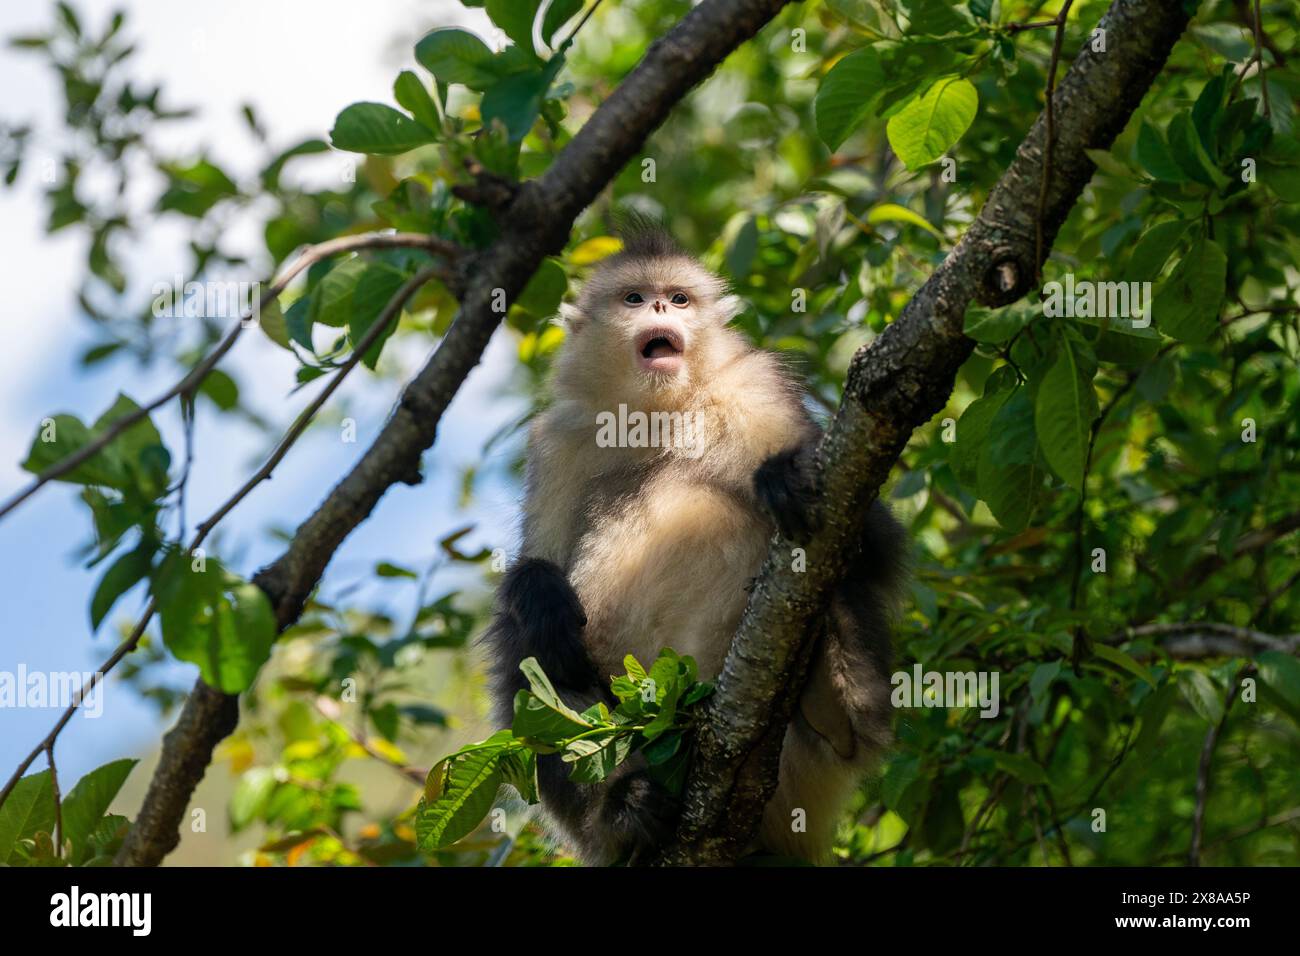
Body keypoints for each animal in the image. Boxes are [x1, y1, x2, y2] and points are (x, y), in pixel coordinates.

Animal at [482, 225, 908, 865]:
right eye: (635, 298)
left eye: (679, 299)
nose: (660, 310)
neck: (655, 417)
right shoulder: (559, 439)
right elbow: (539, 570)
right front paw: (539, 591)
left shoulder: (756, 390)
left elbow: (876, 545)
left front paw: (781, 475)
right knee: (528, 655)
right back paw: (623, 814)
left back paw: (830, 696)